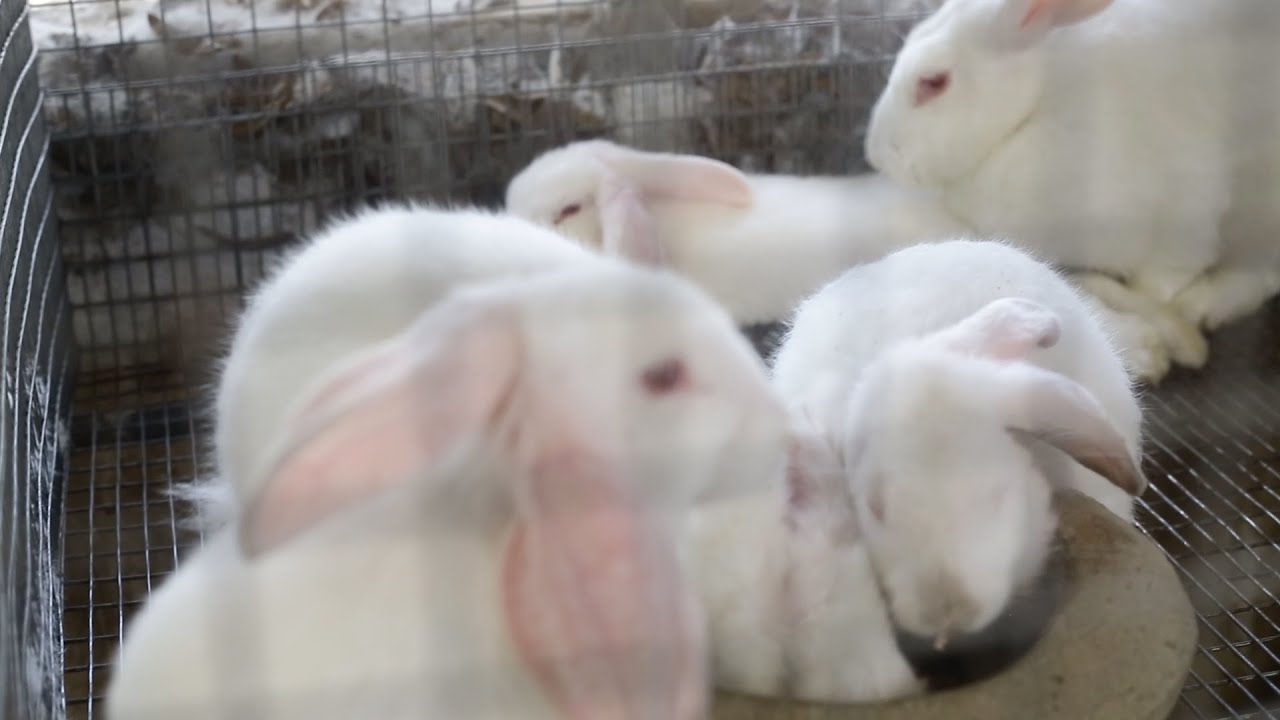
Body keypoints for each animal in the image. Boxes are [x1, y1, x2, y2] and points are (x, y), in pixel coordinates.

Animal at [865, 0, 1280, 336]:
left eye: (933, 82)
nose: (875, 155)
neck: (1039, 104)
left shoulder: (1185, 217)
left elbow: (1164, 279)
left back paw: (1204, 305)